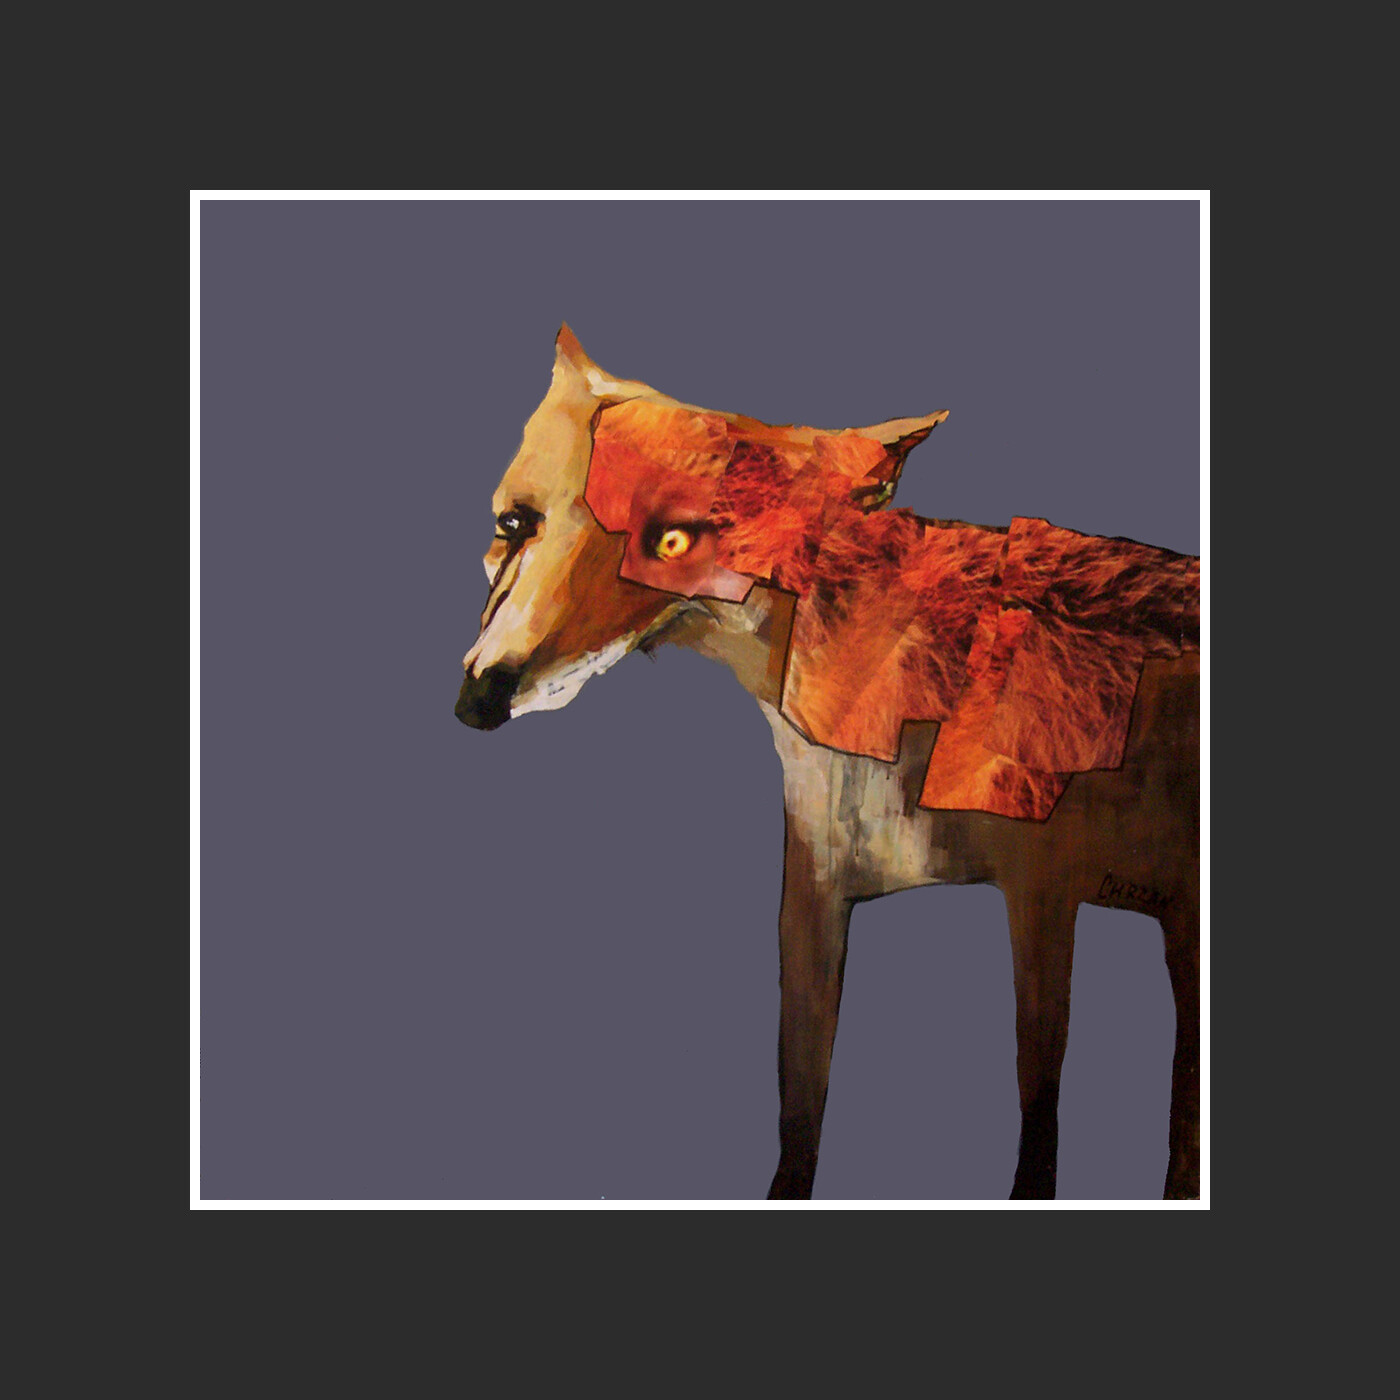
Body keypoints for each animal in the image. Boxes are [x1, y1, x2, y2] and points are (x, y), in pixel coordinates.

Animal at [456, 325, 1200, 1201]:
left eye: (671, 542)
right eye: (515, 522)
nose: (479, 697)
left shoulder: (1042, 896)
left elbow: (1039, 1114)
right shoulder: (816, 891)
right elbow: (798, 1110)